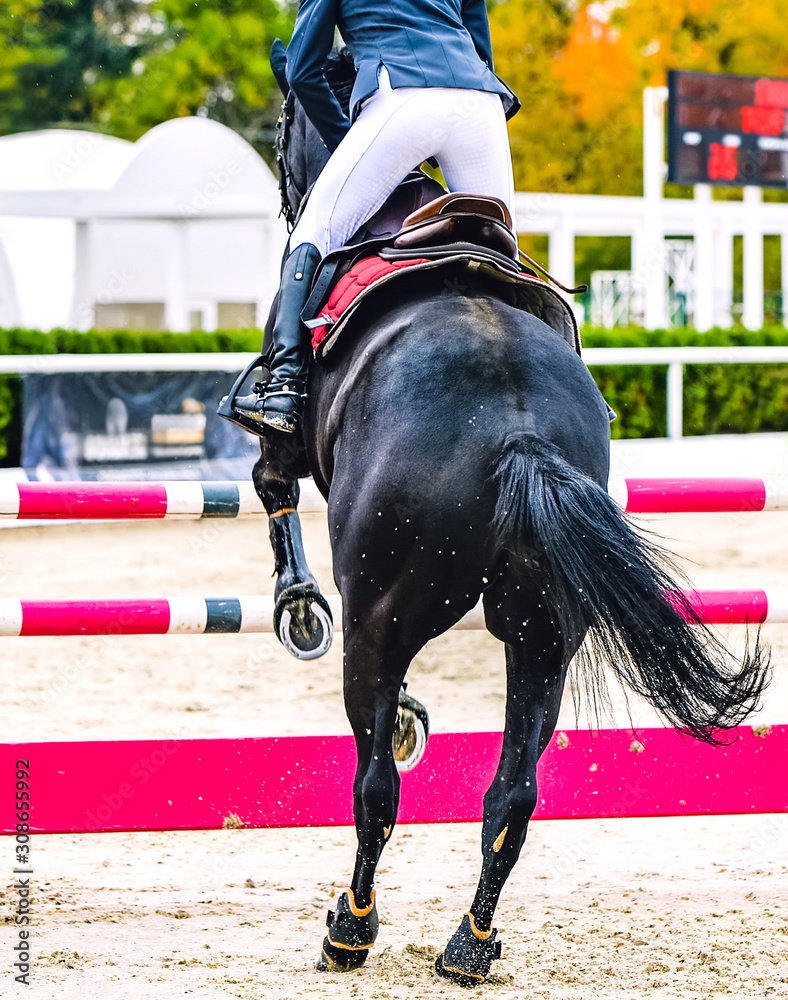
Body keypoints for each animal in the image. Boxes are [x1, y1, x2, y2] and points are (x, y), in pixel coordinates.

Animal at [233, 46, 770, 986]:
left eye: (280, 129)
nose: (286, 191)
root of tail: (520, 435)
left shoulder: (287, 448)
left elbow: (272, 485)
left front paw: (298, 608)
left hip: (391, 613)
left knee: (376, 783)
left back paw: (352, 927)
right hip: (546, 630)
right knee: (513, 792)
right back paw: (470, 944)